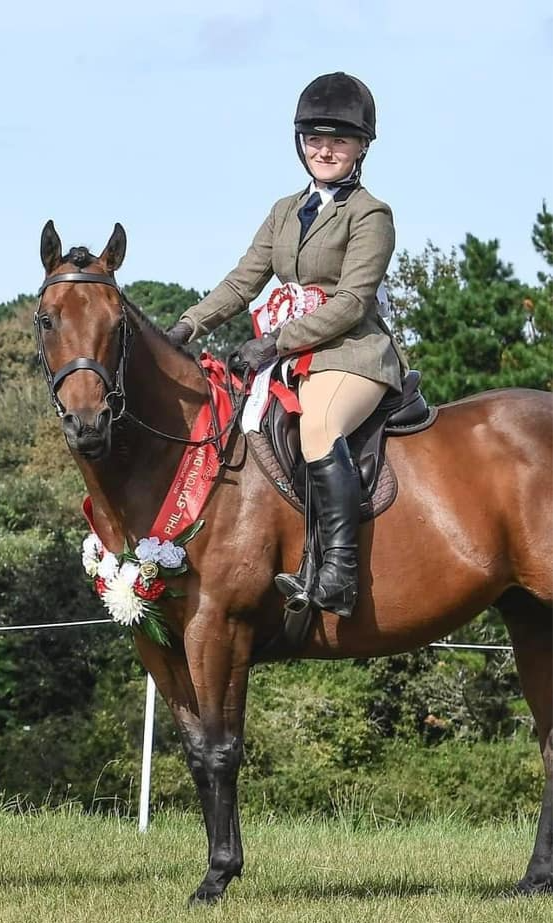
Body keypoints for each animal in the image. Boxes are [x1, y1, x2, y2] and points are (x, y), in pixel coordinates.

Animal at [35, 220, 553, 904]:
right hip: (531, 619)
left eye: (116, 324)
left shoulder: (218, 629)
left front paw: (217, 876)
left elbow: (222, 749)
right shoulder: (158, 637)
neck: (175, 459)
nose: (89, 424)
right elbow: (197, 750)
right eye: (46, 318)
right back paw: (536, 879)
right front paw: (220, 869)